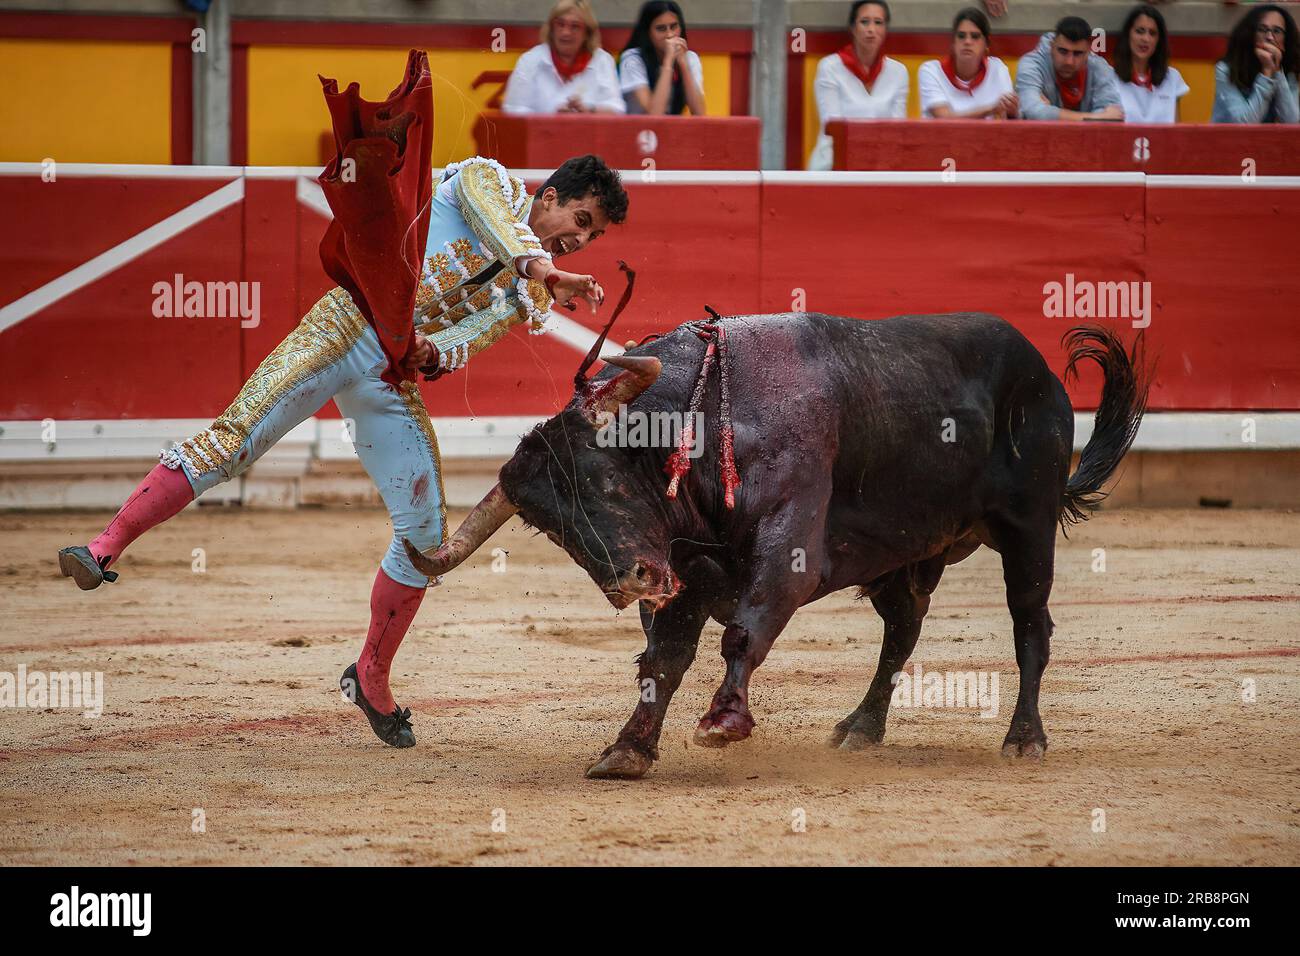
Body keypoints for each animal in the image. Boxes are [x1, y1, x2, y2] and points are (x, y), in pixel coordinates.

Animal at [405, 311, 1148, 779]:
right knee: (902, 631)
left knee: (1030, 627)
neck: (707, 419)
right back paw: (861, 728)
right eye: (548, 526)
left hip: (1027, 529)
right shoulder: (688, 573)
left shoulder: (788, 547)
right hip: (907, 556)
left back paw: (1024, 739)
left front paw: (724, 719)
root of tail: (1040, 371)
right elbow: (662, 661)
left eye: (604, 477)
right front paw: (627, 751)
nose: (631, 581)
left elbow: (745, 629)